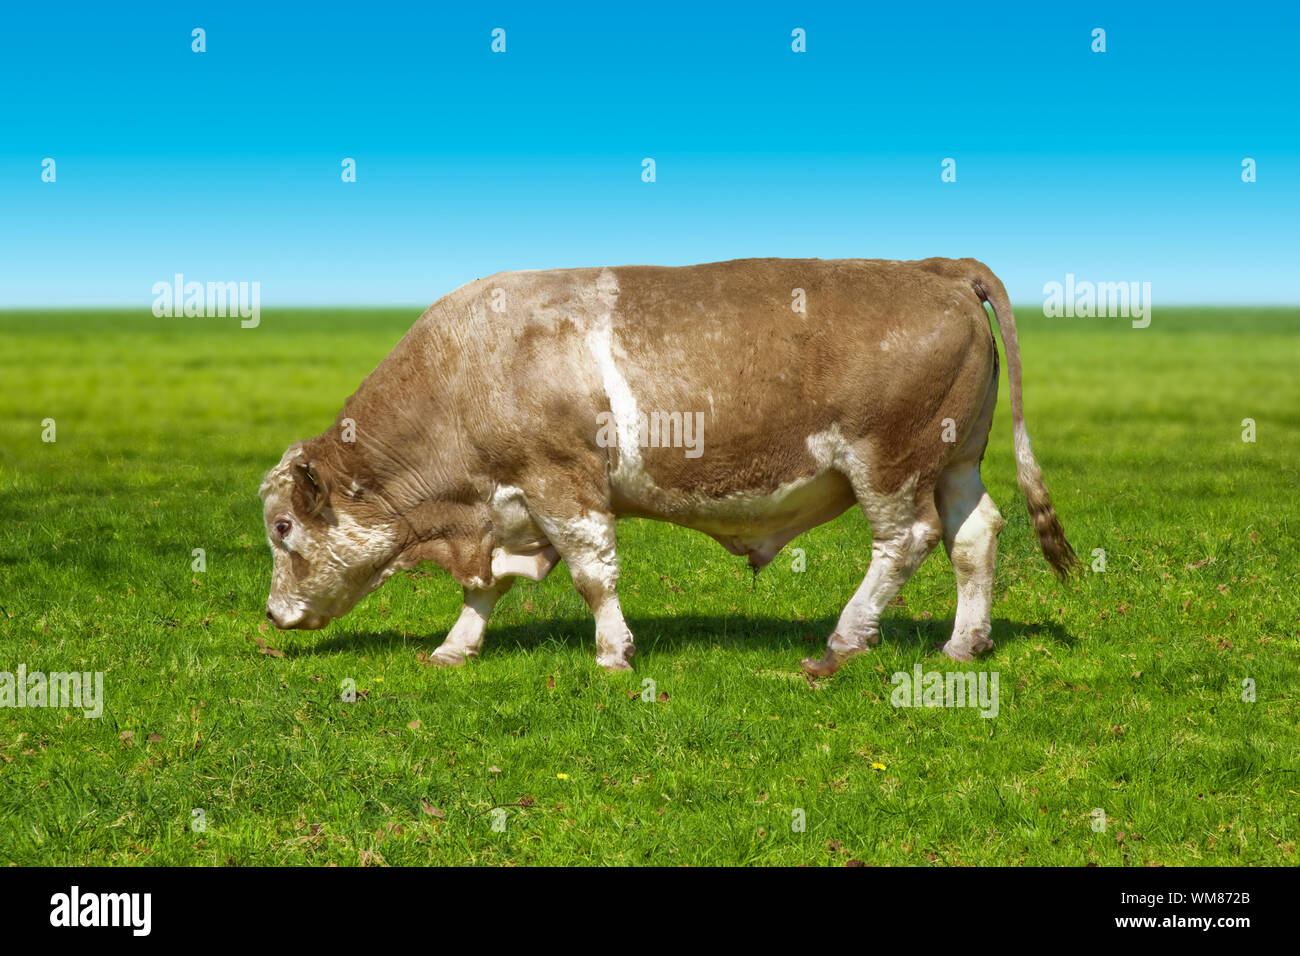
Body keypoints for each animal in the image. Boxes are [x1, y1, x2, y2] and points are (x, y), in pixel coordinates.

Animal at [260, 257, 1076, 676]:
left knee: (904, 542)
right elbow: (487, 587)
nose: (272, 614)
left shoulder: (563, 485)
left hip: (890, 462)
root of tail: (934, 267)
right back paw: (964, 642)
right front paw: (455, 647)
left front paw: (612, 653)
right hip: (955, 458)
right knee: (974, 536)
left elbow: (594, 575)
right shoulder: (507, 507)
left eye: (282, 528)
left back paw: (843, 640)